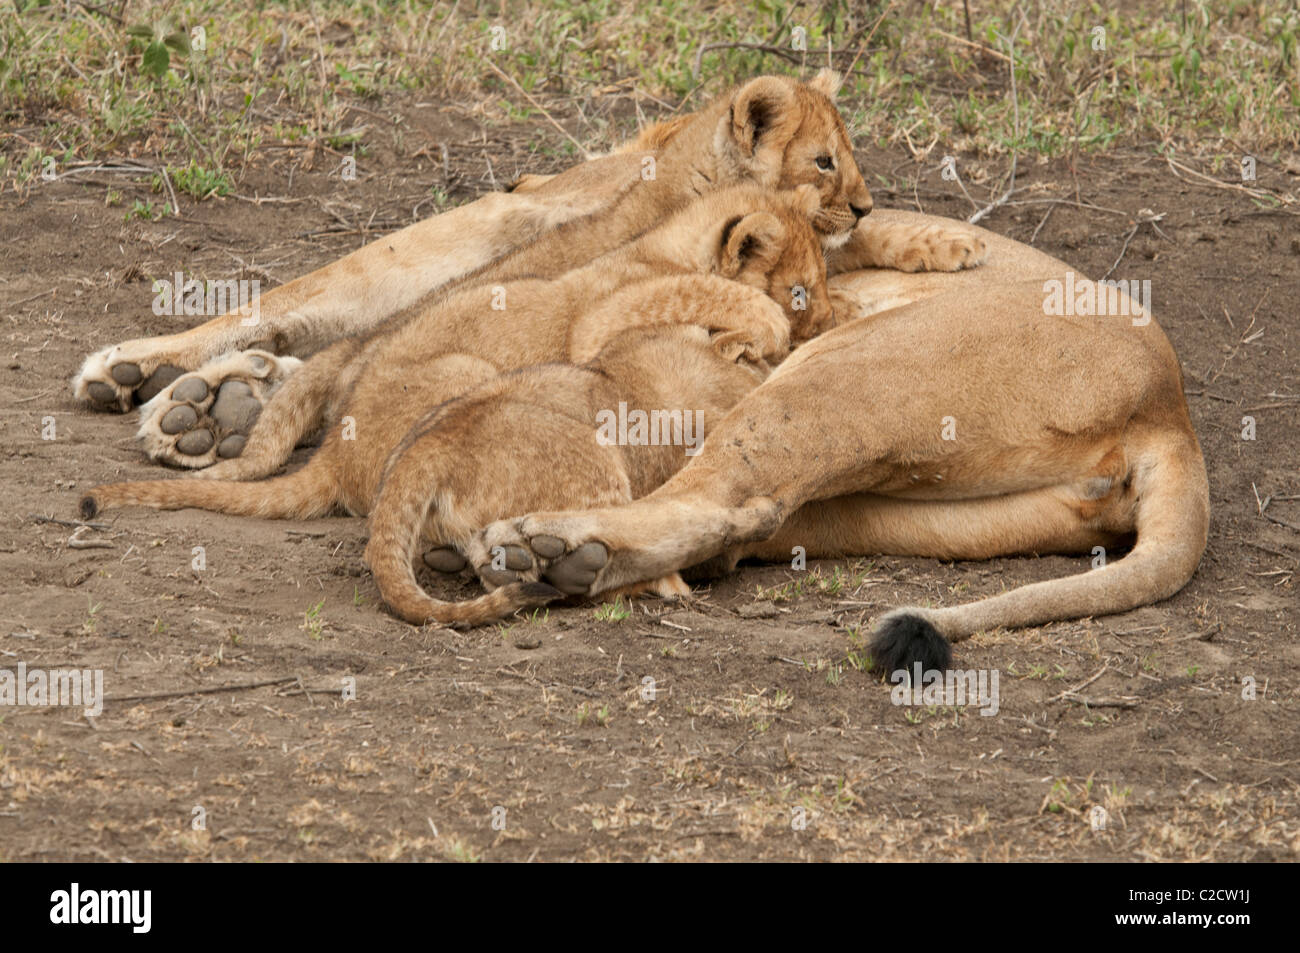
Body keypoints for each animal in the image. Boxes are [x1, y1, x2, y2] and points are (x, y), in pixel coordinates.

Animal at [79, 185, 827, 525]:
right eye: (800, 289)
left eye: (822, 280)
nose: (823, 320)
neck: (666, 243)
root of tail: (331, 458)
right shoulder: (607, 316)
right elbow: (704, 295)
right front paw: (762, 329)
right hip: (470, 377)